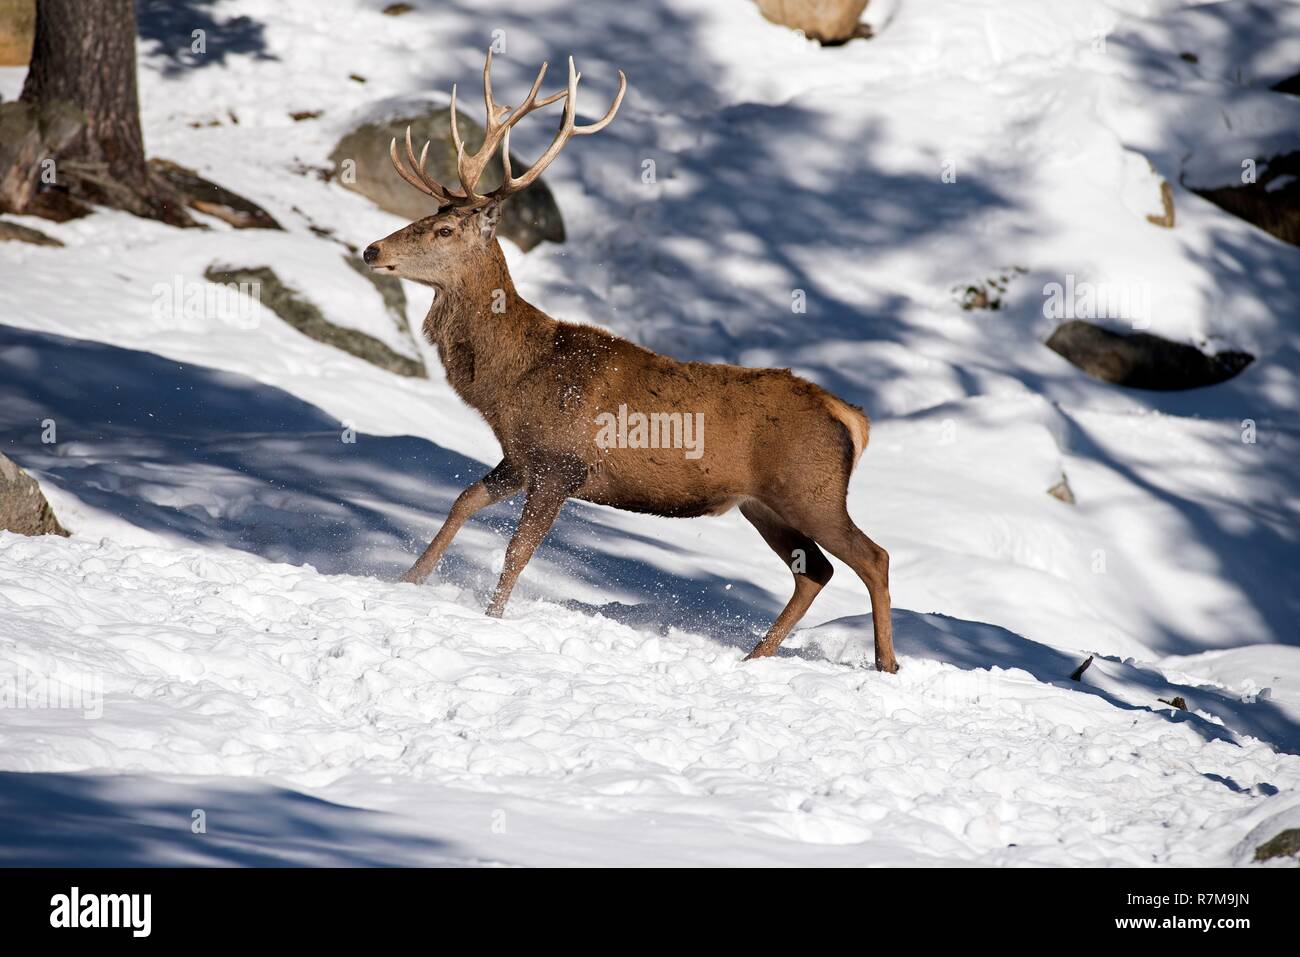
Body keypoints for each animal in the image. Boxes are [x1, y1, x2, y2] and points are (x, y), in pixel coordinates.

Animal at [363, 50, 897, 672]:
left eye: (444, 228)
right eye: (425, 216)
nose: (373, 249)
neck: (513, 379)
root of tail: (851, 417)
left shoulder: (563, 462)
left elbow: (518, 551)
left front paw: (491, 620)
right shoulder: (522, 457)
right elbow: (463, 501)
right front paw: (409, 580)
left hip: (811, 490)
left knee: (873, 557)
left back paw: (886, 664)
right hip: (763, 505)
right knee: (816, 570)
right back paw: (754, 657)